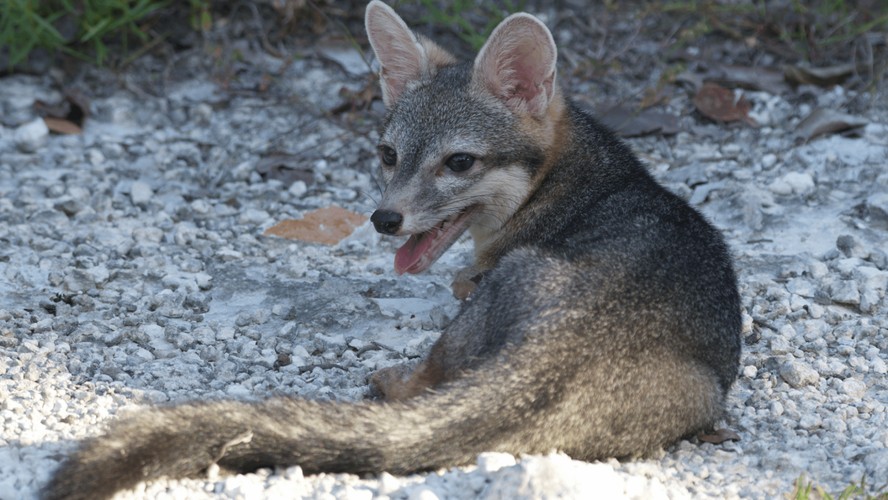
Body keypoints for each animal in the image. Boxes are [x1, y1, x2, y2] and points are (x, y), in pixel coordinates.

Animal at [43, 2, 742, 499]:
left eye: (459, 162)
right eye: (387, 155)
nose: (384, 219)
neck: (571, 179)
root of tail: (563, 349)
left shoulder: (477, 278)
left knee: (424, 384)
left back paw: (391, 379)